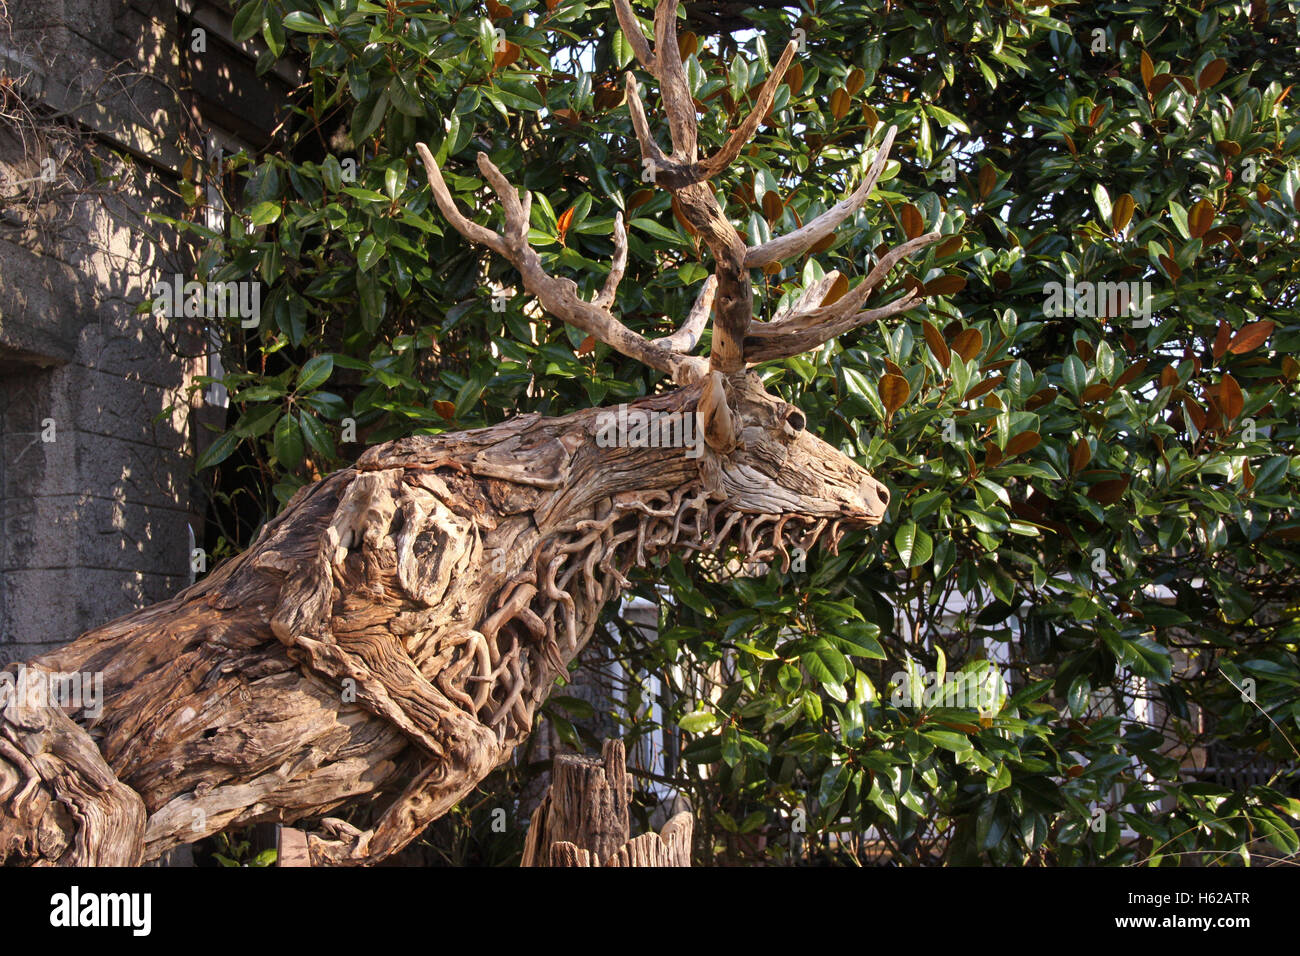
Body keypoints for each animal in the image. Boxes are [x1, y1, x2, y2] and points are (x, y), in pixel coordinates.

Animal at [0, 0, 939, 866]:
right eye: (791, 418)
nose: (880, 490)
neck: (554, 529)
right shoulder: (347, 602)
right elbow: (456, 737)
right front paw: (356, 830)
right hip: (84, 801)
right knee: (107, 805)